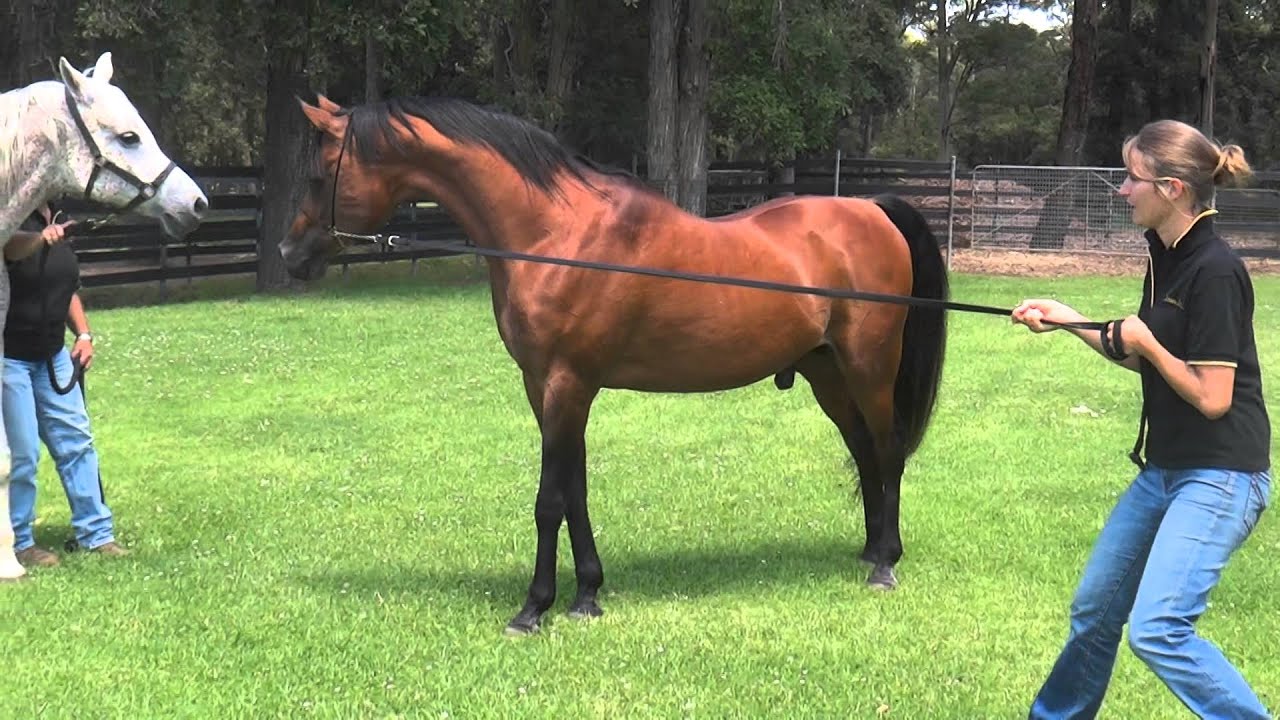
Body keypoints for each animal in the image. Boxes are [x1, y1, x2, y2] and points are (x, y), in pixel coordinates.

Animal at [280, 94, 948, 635]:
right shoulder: (547, 388)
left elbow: (549, 499)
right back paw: (870, 550)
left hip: (869, 368)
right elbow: (574, 491)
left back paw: (885, 565)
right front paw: (586, 596)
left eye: (316, 174)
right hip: (827, 374)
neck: (557, 235)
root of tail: (872, 209)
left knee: (888, 452)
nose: (290, 254)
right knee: (864, 453)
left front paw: (534, 607)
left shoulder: (567, 384)